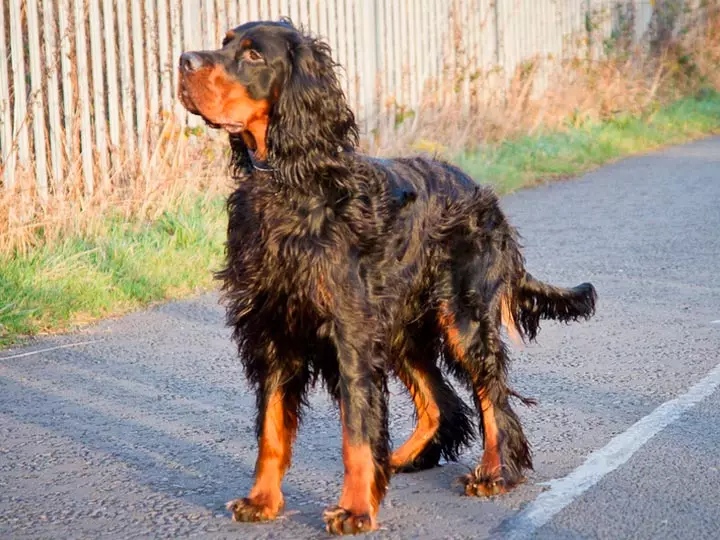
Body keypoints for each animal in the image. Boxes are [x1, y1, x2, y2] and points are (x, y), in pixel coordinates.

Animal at [179, 16, 596, 536]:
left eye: (254, 54)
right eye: (225, 41)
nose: (183, 61)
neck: (292, 183)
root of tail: (482, 193)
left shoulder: (349, 332)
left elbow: (357, 431)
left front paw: (356, 509)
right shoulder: (274, 329)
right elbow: (272, 429)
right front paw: (262, 501)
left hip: (460, 316)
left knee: (492, 395)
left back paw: (495, 473)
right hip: (400, 327)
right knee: (443, 403)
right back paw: (399, 461)